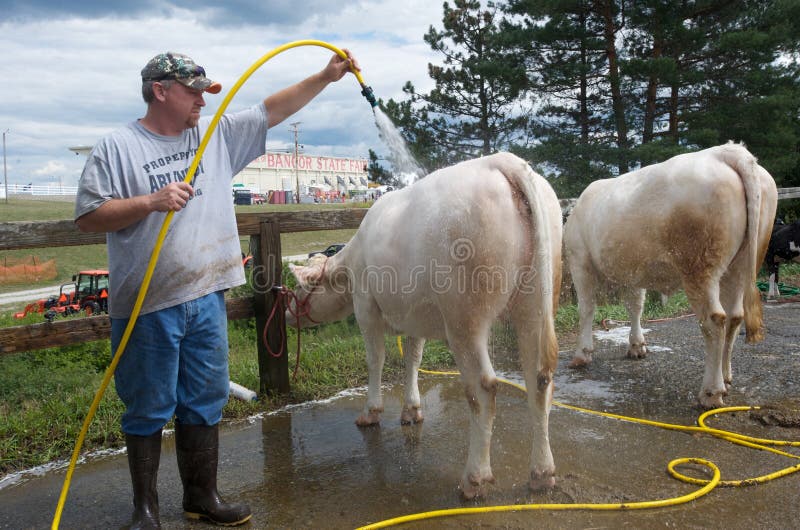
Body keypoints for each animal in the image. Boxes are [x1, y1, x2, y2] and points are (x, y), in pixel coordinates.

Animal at [285, 152, 563, 499]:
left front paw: (371, 412)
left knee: (483, 388)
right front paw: (411, 410)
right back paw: (542, 473)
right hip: (535, 304)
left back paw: (474, 477)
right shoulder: (414, 316)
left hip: (464, 318)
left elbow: (375, 359)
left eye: (301, 289)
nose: (286, 312)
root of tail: (504, 161)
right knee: (539, 380)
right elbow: (413, 358)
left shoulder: (366, 307)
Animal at [564, 143, 777, 409]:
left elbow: (586, 309)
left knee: (714, 320)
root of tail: (727, 151)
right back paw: (726, 377)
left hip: (698, 267)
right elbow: (635, 306)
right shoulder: (632, 271)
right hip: (741, 264)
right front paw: (637, 345)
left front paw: (582, 354)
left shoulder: (579, 260)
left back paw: (711, 391)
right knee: (735, 317)